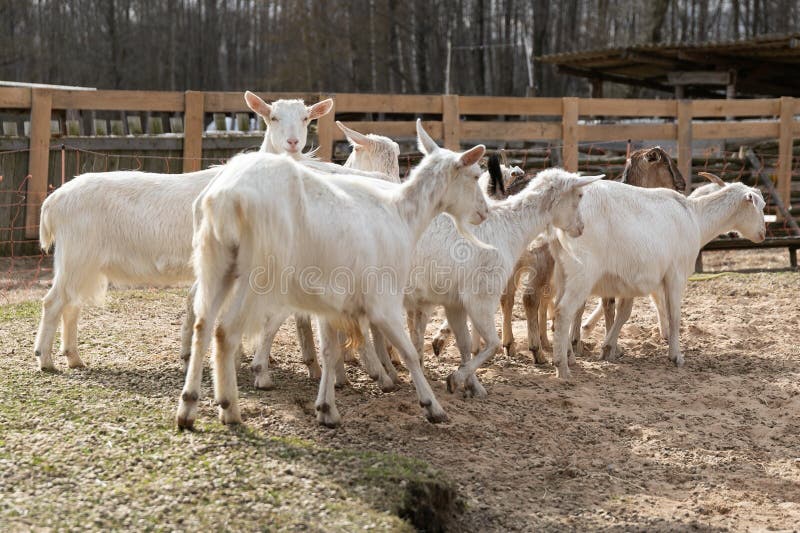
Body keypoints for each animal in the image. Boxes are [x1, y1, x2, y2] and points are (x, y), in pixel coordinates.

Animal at [34, 92, 333, 371]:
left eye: (306, 118)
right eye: (273, 117)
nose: (292, 143)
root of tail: (53, 201)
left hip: (84, 263)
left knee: (71, 306)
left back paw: (73, 357)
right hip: (76, 255)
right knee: (53, 302)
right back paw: (46, 360)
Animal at [175, 120, 489, 429]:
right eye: (475, 175)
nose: (484, 212)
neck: (403, 217)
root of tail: (226, 197)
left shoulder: (330, 301)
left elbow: (329, 350)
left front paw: (327, 408)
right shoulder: (383, 299)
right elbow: (409, 352)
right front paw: (431, 406)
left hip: (216, 262)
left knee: (203, 324)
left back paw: (188, 406)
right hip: (259, 274)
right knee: (225, 331)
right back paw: (229, 406)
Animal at [404, 157, 602, 397]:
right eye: (580, 195)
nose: (581, 228)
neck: (509, 227)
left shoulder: (456, 300)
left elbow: (464, 343)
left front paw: (471, 384)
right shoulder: (481, 294)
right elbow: (493, 343)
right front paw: (457, 379)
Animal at [549, 178, 765, 379]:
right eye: (760, 206)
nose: (763, 234)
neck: (695, 217)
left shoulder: (631, 279)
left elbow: (624, 313)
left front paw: (608, 348)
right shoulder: (675, 274)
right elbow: (674, 315)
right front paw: (675, 356)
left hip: (561, 272)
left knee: (558, 310)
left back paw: (568, 355)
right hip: (583, 270)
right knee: (564, 311)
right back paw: (562, 367)